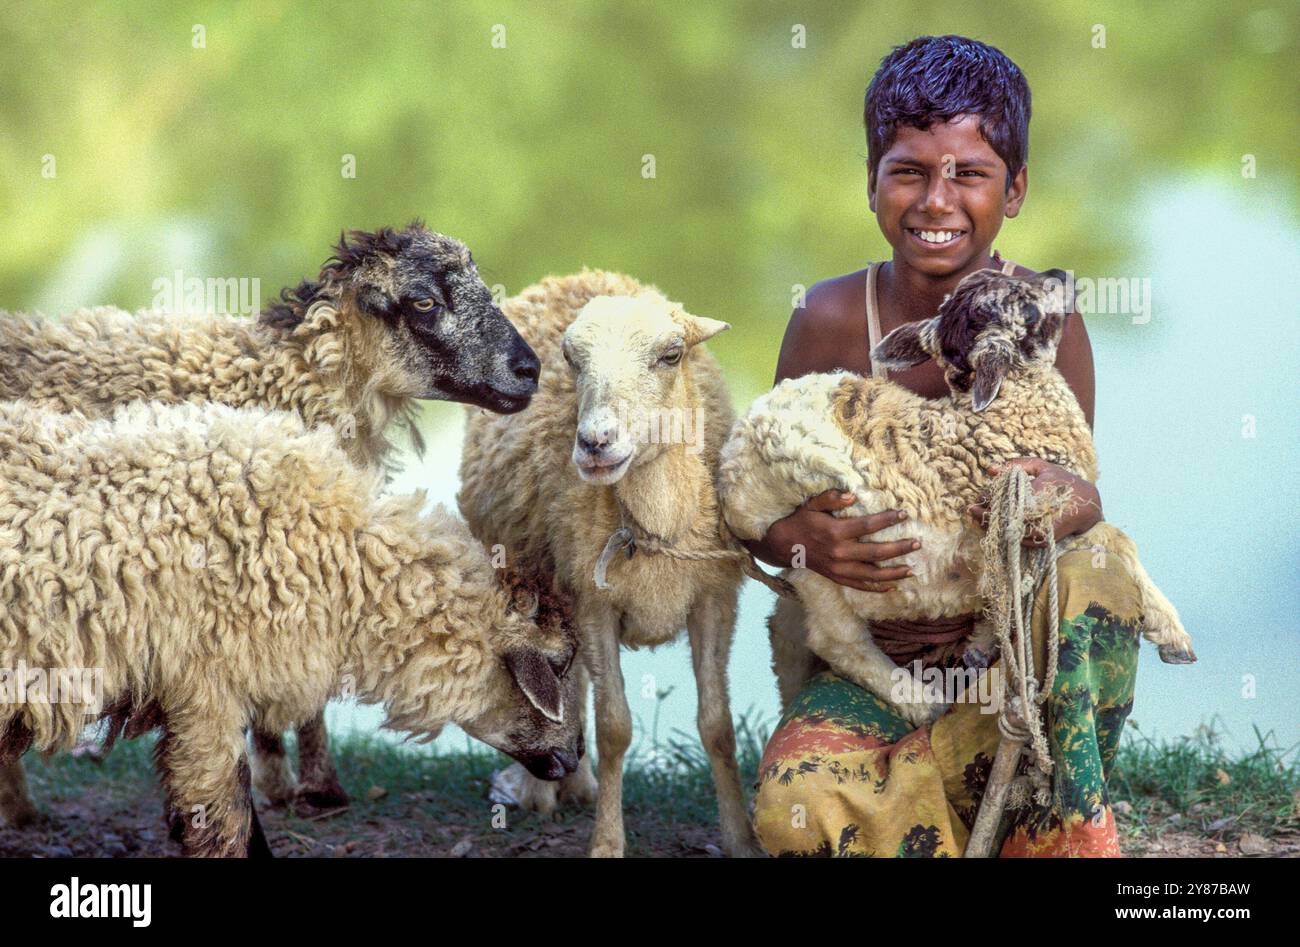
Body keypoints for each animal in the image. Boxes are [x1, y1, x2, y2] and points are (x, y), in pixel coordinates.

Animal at [457, 271, 763, 858]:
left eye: (672, 354)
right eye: (570, 359)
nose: (595, 443)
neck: (656, 526)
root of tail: (577, 274)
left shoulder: (714, 599)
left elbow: (717, 725)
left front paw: (742, 840)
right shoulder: (593, 603)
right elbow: (615, 727)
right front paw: (606, 843)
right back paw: (545, 791)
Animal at [717, 267, 1196, 726]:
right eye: (1029, 311)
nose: (1061, 275)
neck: (1008, 411)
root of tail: (731, 464)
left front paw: (983, 643)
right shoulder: (1036, 516)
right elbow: (1117, 540)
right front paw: (1175, 638)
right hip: (819, 553)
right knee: (836, 638)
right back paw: (921, 703)